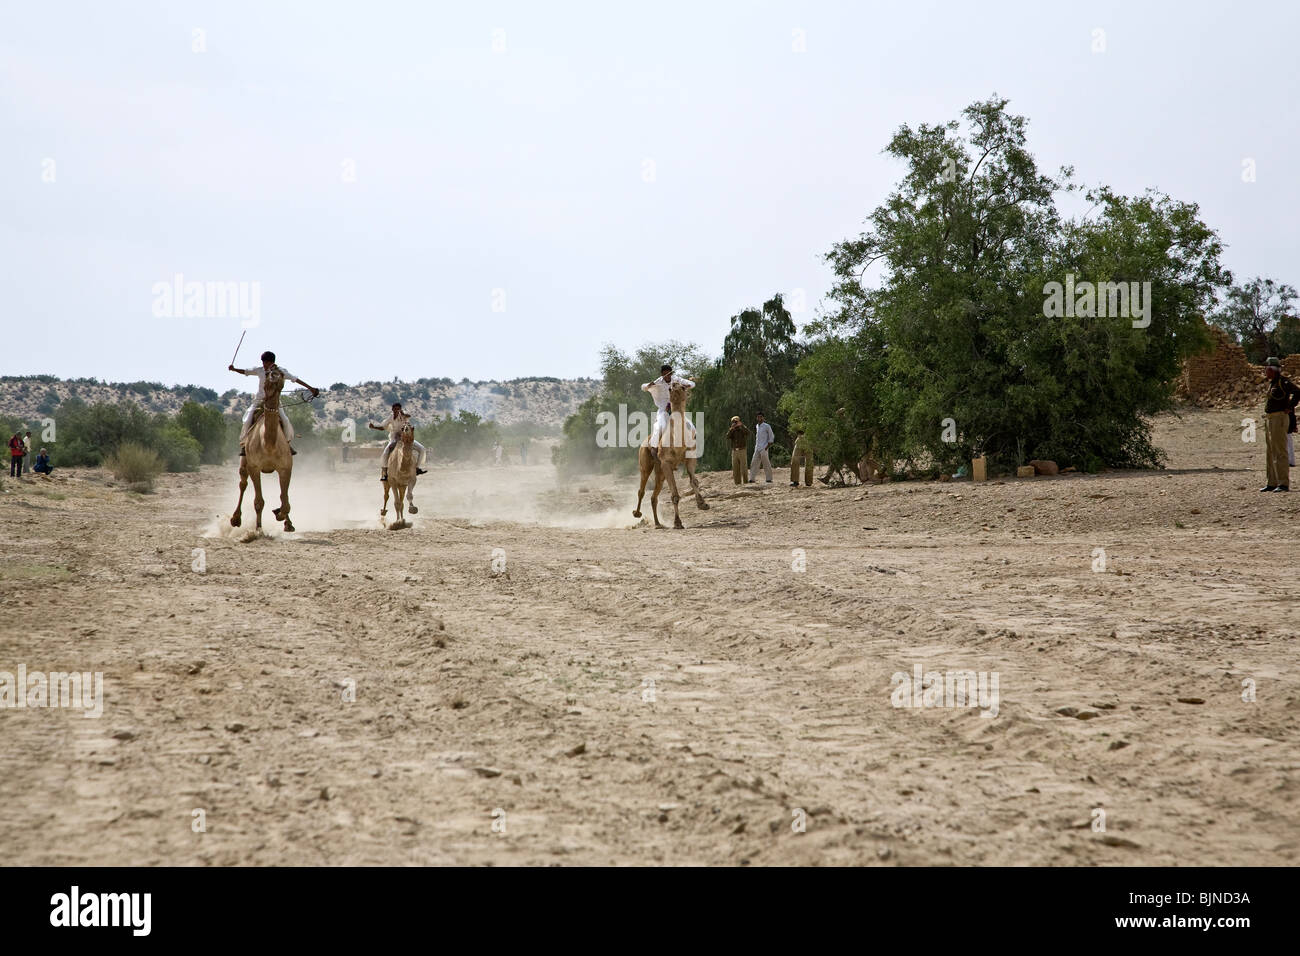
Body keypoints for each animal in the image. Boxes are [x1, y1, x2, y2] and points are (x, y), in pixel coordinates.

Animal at [230, 367, 294, 532]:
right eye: (266, 374)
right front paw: (258, 529)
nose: (274, 374)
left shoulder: (285, 467)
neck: (269, 445)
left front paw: (283, 518)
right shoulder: (255, 467)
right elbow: (259, 501)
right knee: (242, 483)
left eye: (281, 373)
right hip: (244, 460)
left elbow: (285, 500)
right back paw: (235, 519)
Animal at [633, 380, 709, 529]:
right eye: (669, 388)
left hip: (660, 471)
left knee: (654, 496)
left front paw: (702, 504)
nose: (674, 384)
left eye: (684, 386)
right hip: (646, 464)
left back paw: (658, 524)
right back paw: (637, 513)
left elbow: (694, 481)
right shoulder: (666, 463)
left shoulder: (690, 458)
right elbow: (674, 495)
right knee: (642, 490)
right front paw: (677, 522)